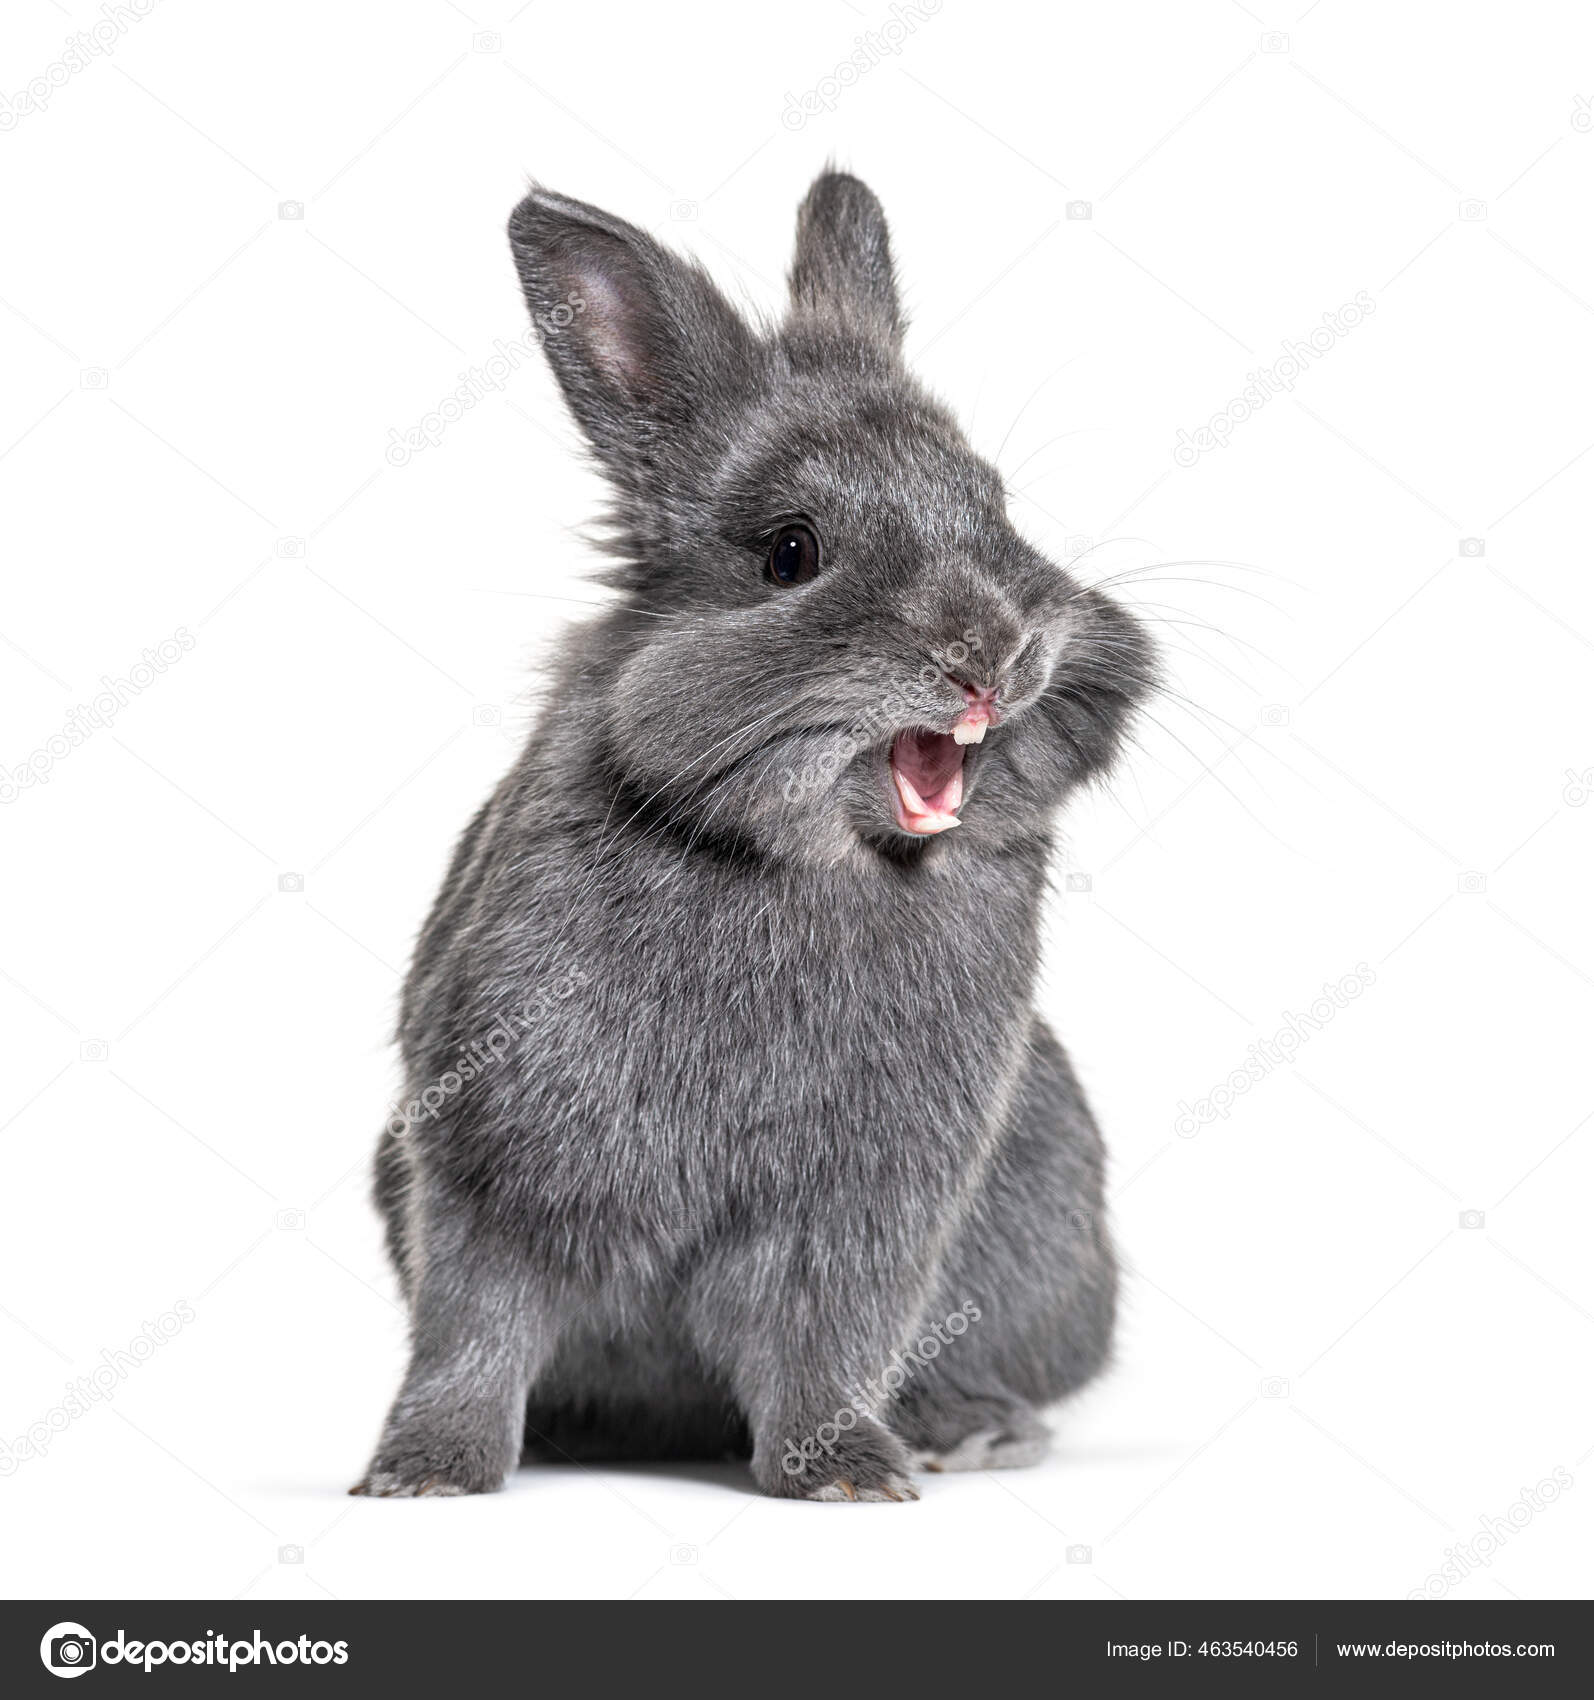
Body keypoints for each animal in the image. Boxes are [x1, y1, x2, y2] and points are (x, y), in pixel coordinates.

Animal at [352, 169, 1154, 1503]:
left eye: (993, 506)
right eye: (791, 551)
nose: (990, 656)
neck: (806, 863)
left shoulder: (870, 1203)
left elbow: (828, 1335)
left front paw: (848, 1471)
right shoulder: (490, 1155)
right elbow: (476, 1326)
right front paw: (424, 1471)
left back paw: (968, 1426)